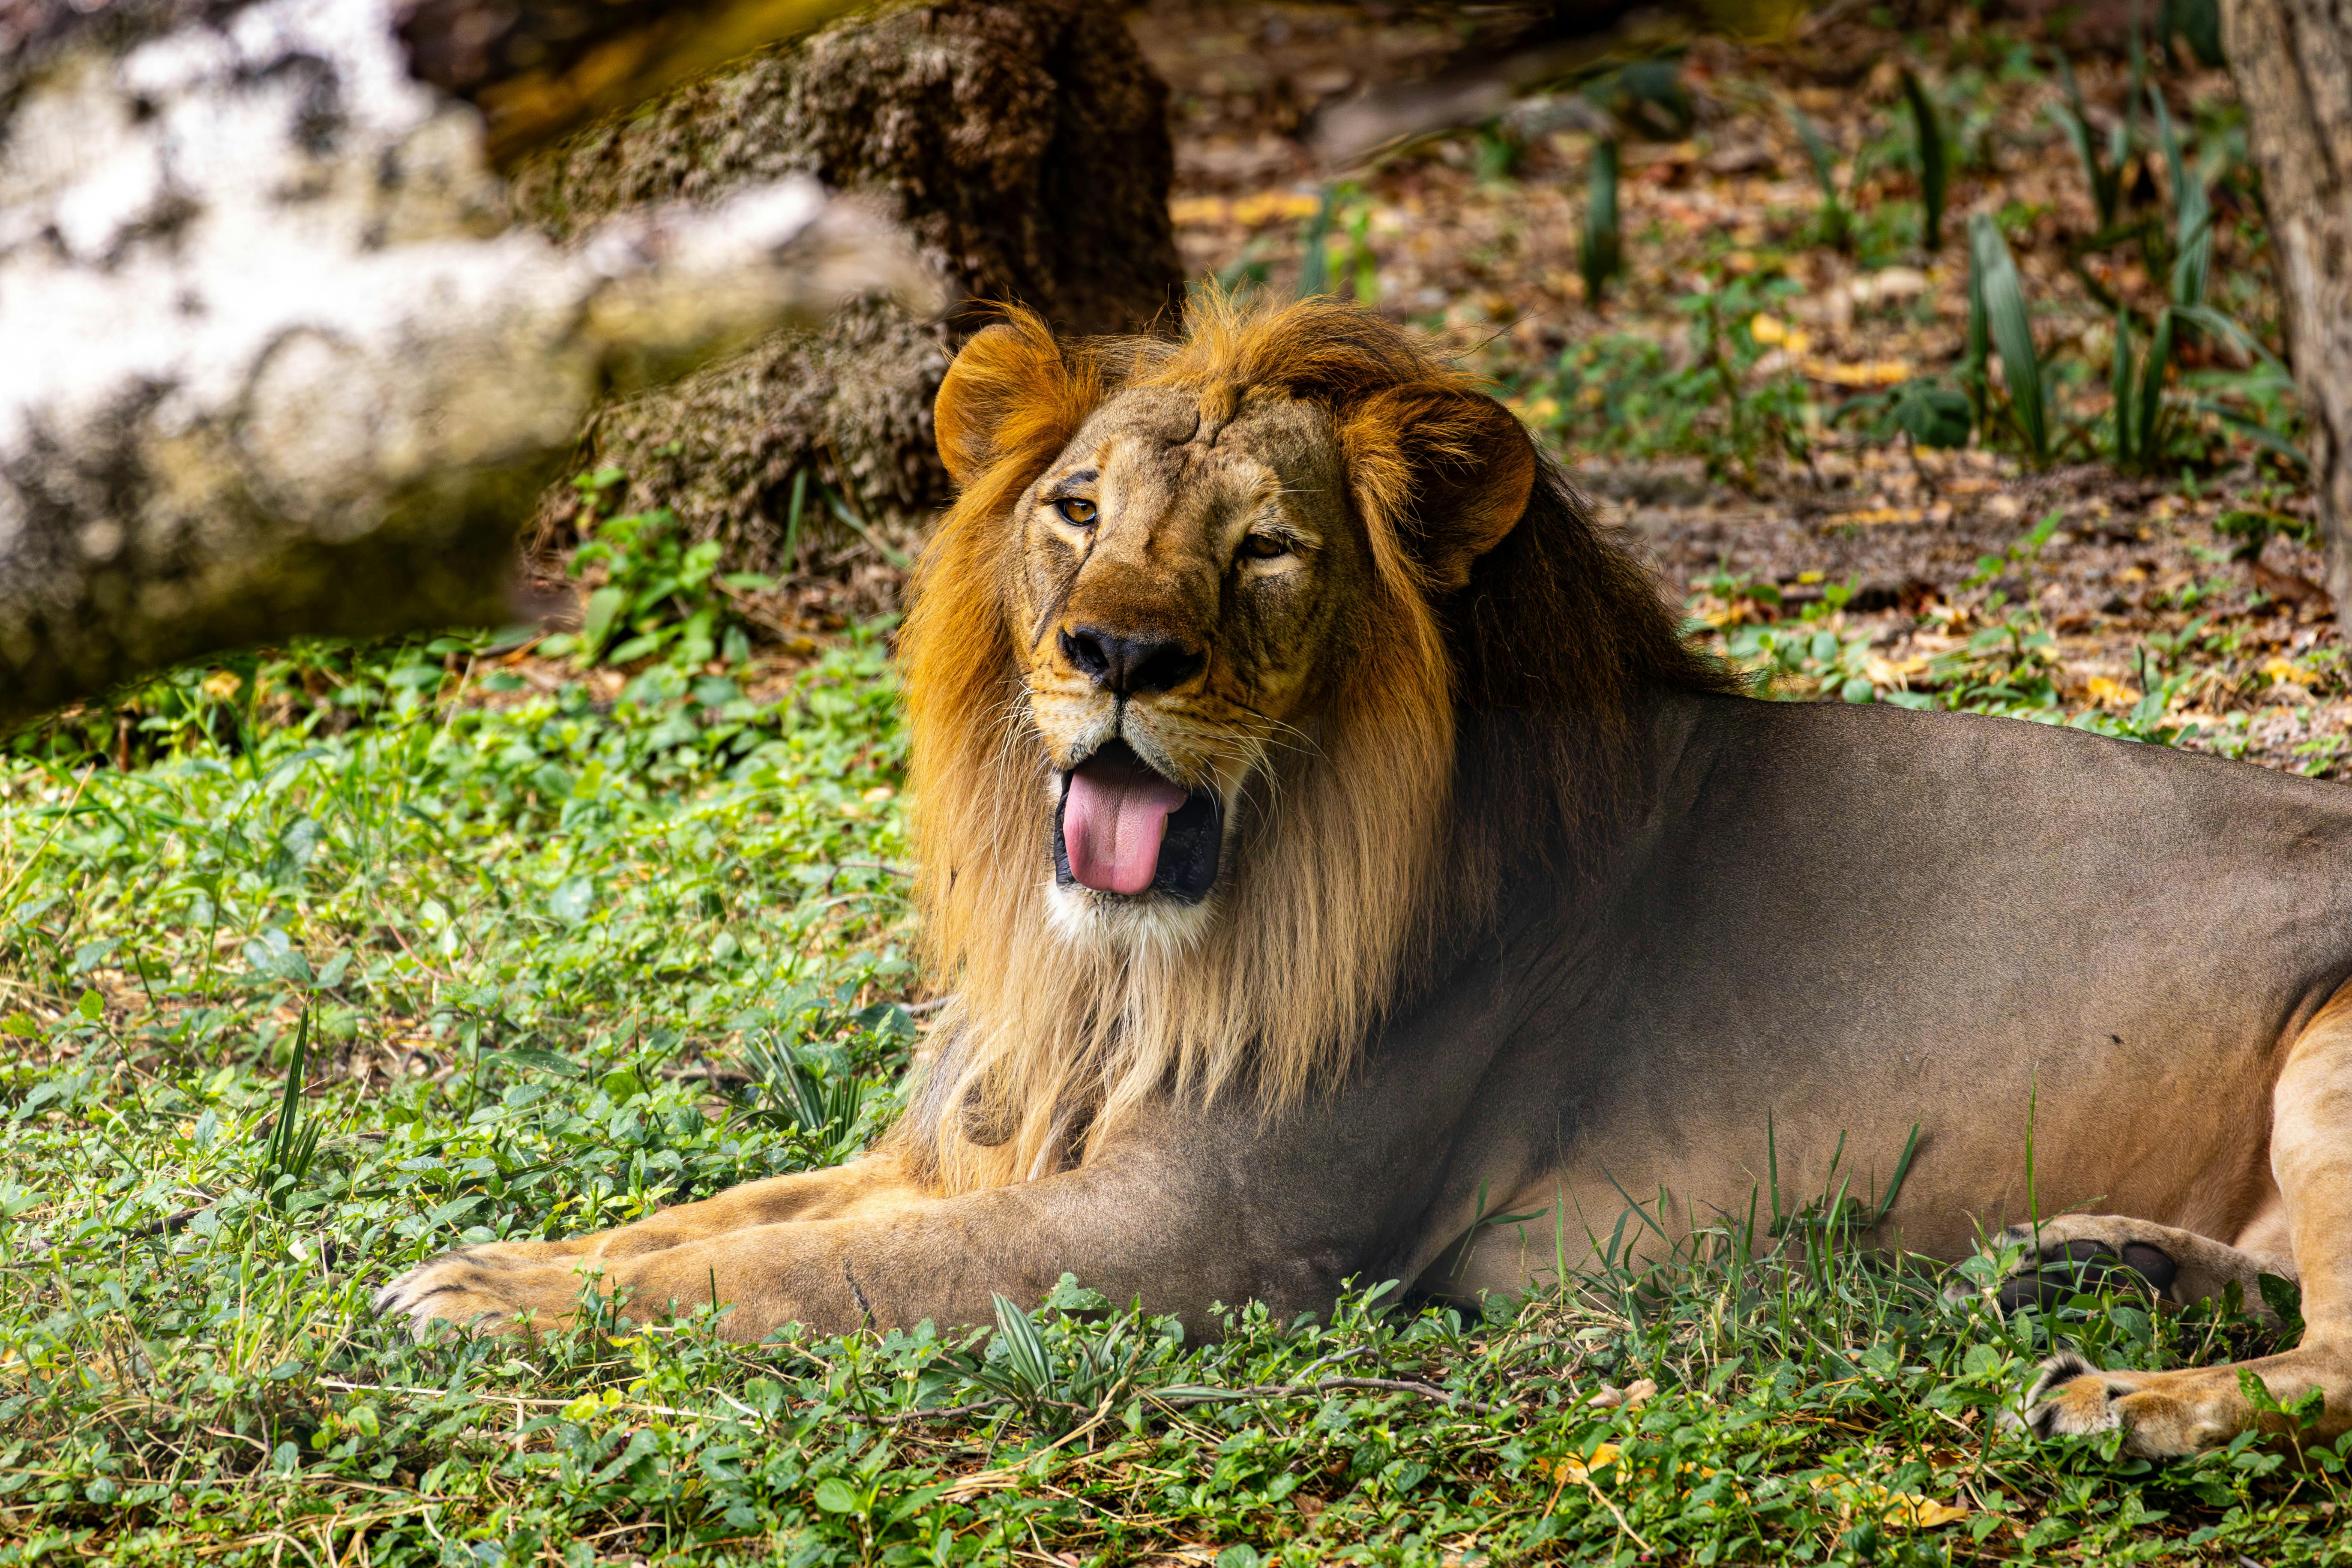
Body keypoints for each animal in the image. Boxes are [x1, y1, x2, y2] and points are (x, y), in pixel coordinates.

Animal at [382, 297, 2352, 1458]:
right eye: (1078, 509)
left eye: (1265, 547)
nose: (1117, 653)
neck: (1120, 966)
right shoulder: (980, 1143)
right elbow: (727, 1216)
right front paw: (487, 1260)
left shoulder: (1206, 1233)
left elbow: (808, 1276)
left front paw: (484, 1310)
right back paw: (2100, 1266)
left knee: (2334, 1361)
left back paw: (2126, 1391)